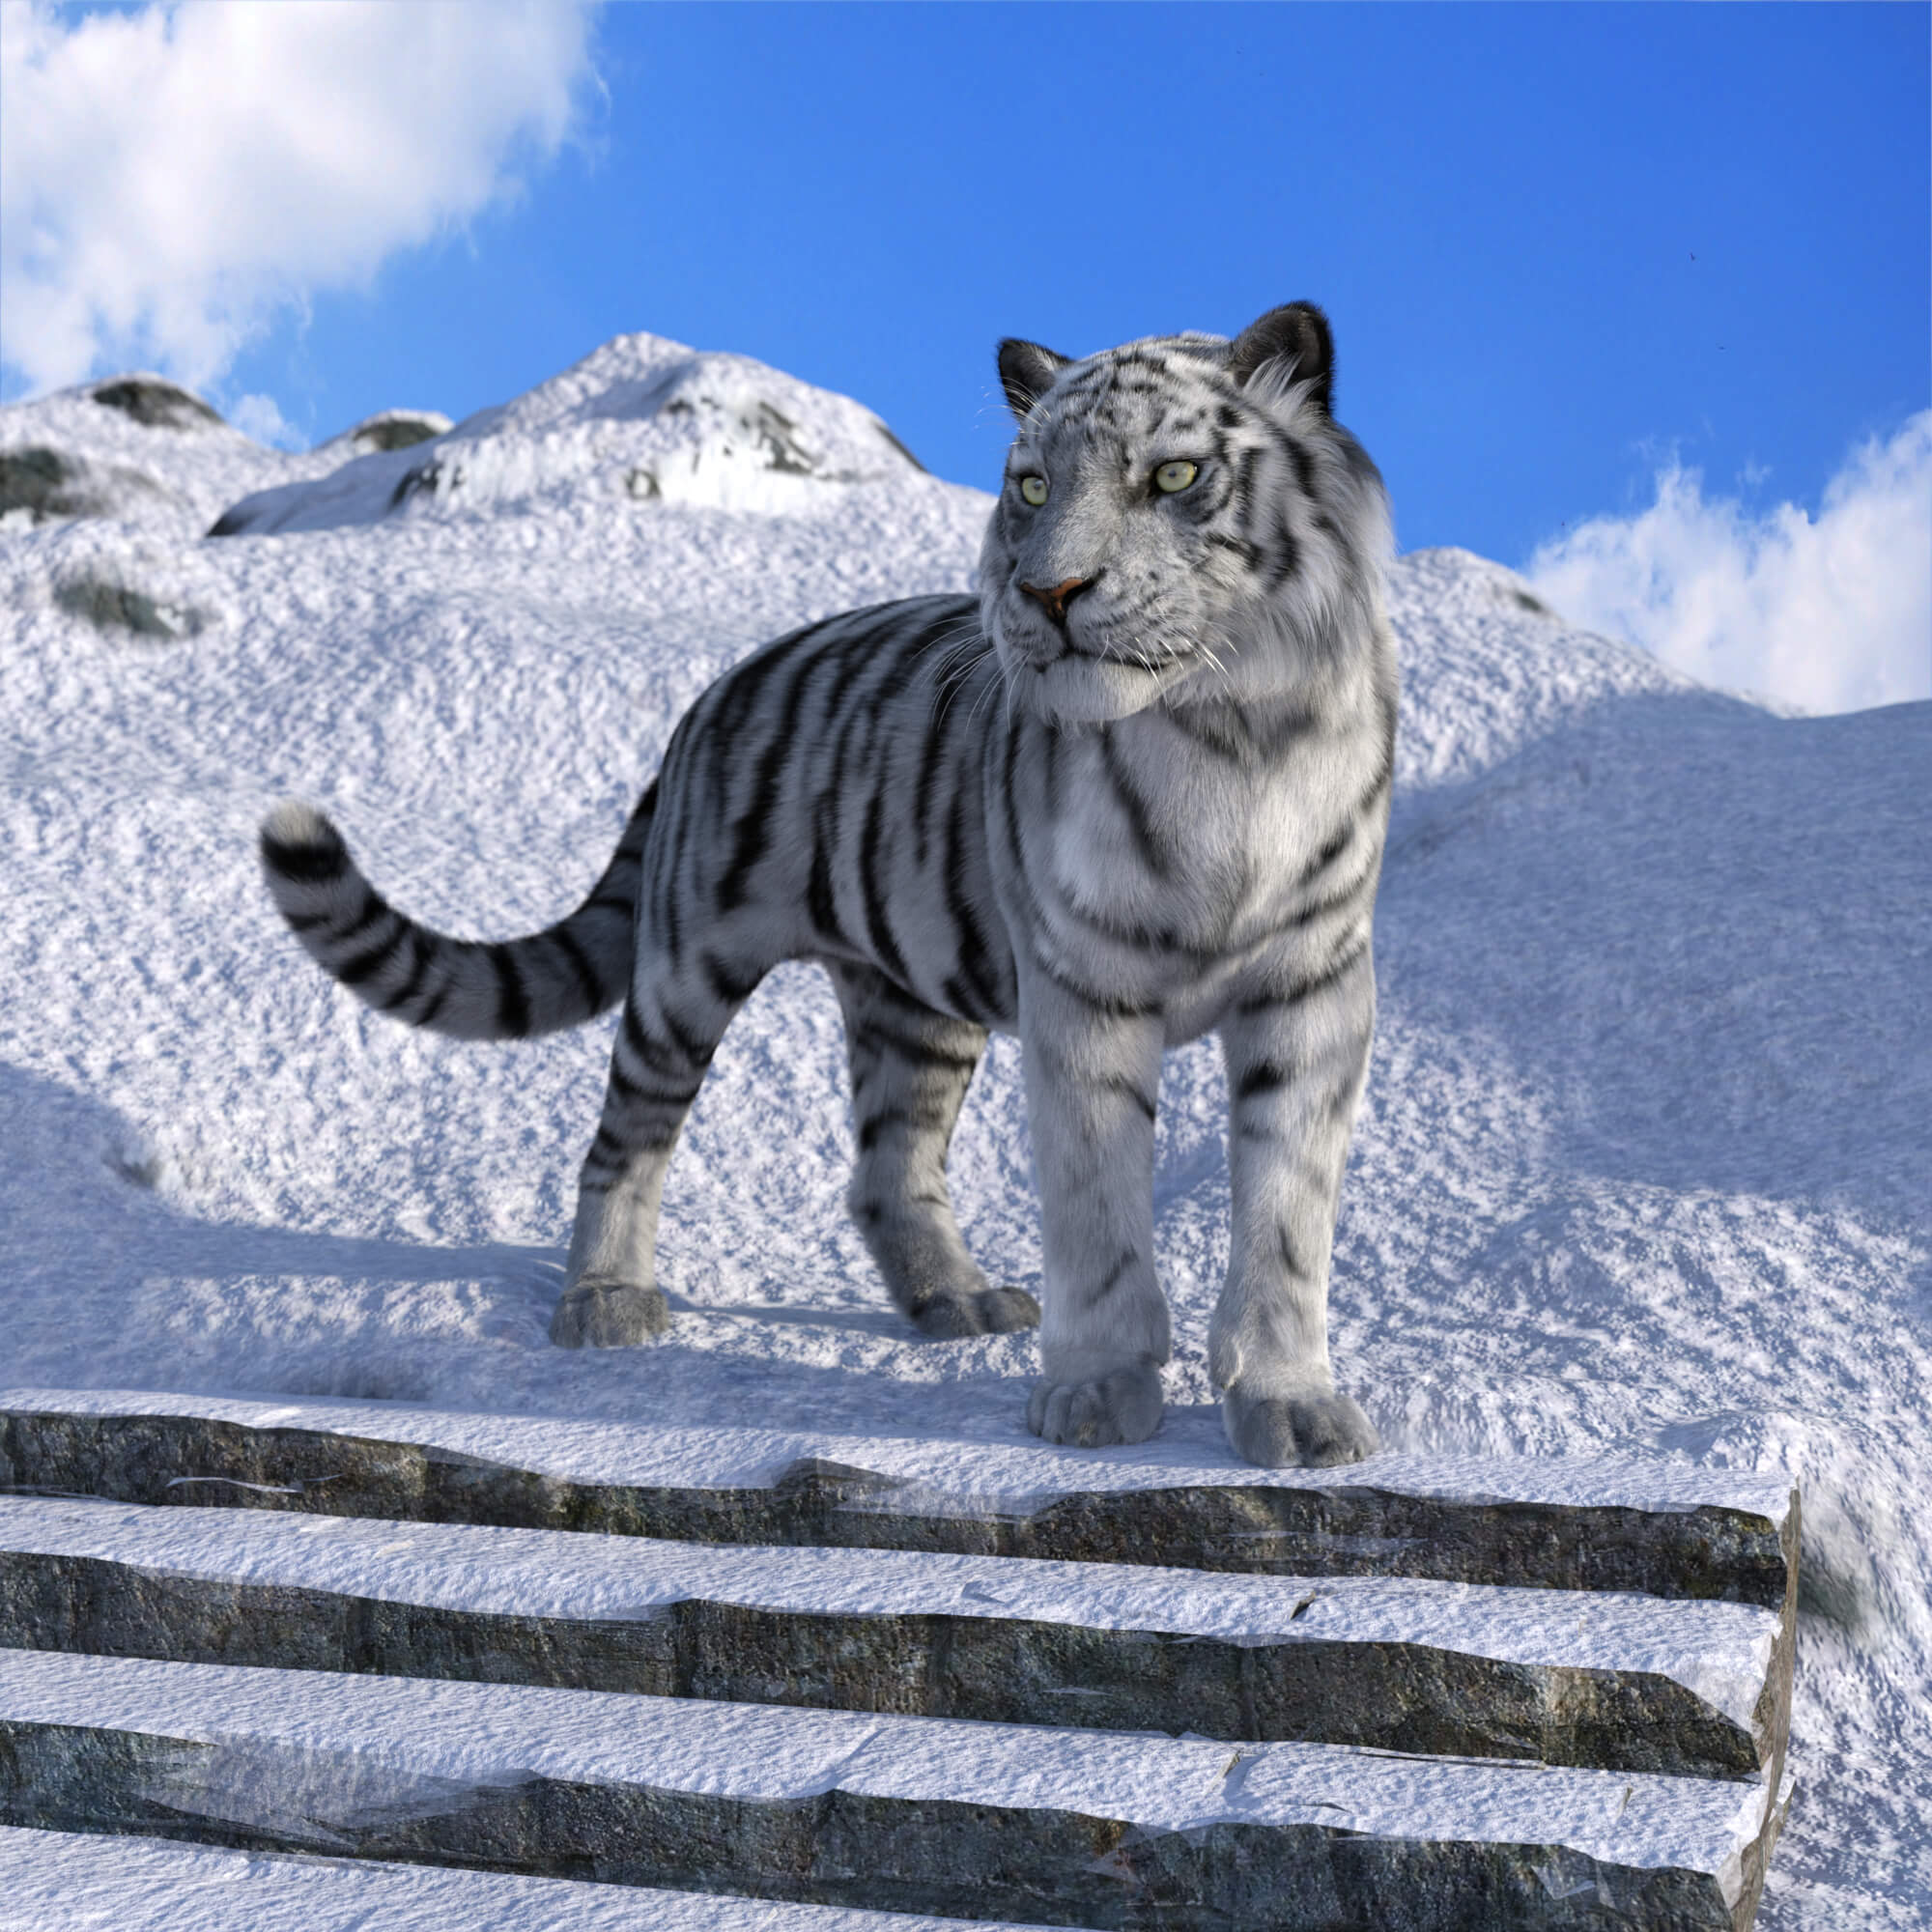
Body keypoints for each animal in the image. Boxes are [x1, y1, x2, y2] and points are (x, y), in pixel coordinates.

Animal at [261, 302, 1397, 1469]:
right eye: (1033, 487)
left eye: (1173, 476)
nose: (1048, 592)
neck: (1223, 738)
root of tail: (717, 687)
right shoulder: (1083, 996)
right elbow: (1098, 1209)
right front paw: (1097, 1395)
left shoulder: (1311, 993)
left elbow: (1285, 1216)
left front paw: (1293, 1407)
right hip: (684, 971)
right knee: (624, 1137)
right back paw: (607, 1301)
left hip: (915, 1006)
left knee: (886, 1167)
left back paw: (958, 1301)